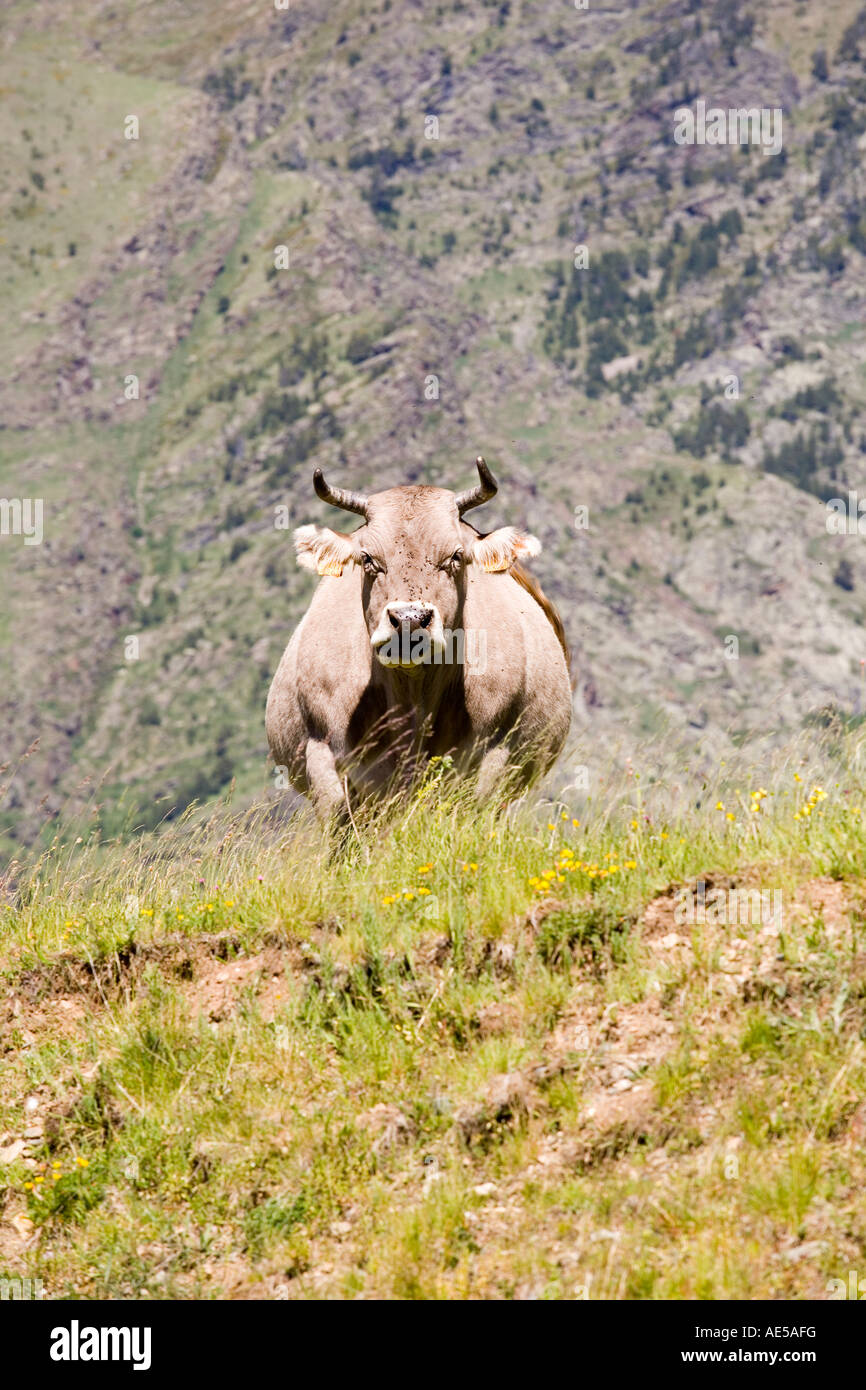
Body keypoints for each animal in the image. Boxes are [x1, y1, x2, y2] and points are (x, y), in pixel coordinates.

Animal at [266, 457, 572, 818]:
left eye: (455, 556)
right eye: (367, 558)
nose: (409, 619)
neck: (413, 697)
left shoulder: (493, 760)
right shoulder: (323, 758)